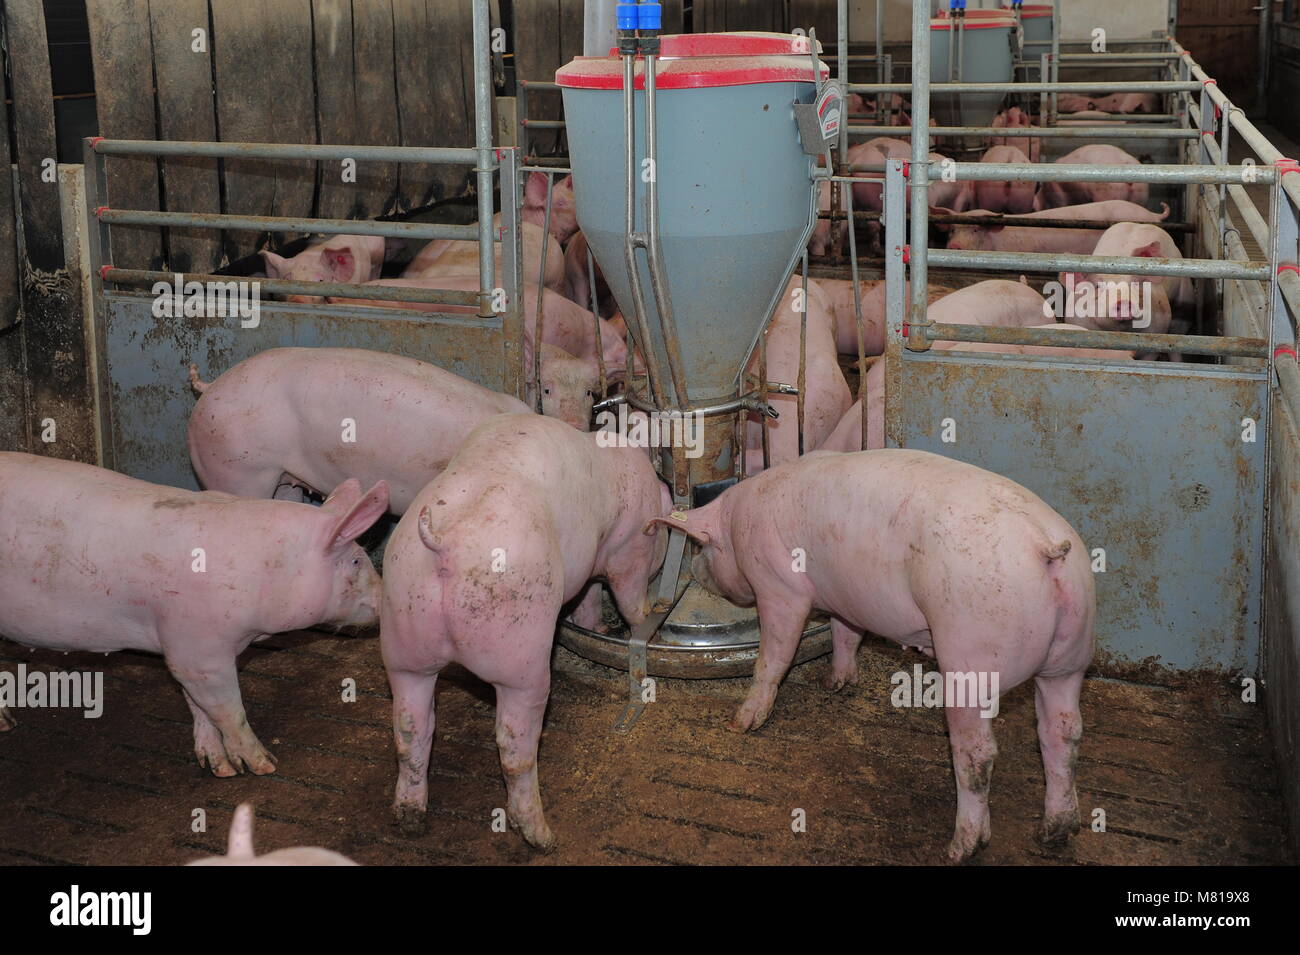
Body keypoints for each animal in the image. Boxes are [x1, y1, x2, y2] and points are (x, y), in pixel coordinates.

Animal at [0, 452, 388, 776]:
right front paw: (263, 766)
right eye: (357, 560)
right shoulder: (199, 651)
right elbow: (228, 709)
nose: (384, 601)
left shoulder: (182, 644)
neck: (269, 569)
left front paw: (219, 768)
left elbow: (198, 705)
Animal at [380, 414, 672, 849]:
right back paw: (541, 836)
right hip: (520, 650)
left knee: (409, 729)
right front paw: (644, 617)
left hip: (403, 636)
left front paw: (598, 625)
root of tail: (444, 541)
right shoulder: (630, 543)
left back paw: (410, 818)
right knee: (514, 743)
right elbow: (628, 592)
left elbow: (588, 594)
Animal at [644, 449, 1095, 862]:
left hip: (972, 657)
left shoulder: (780, 588)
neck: (739, 523)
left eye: (704, 546)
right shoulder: (846, 597)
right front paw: (835, 683)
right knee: (1063, 732)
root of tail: (1046, 547)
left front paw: (741, 722)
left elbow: (774, 656)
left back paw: (961, 847)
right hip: (1071, 656)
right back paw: (1056, 831)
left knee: (979, 754)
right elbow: (845, 634)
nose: (697, 571)